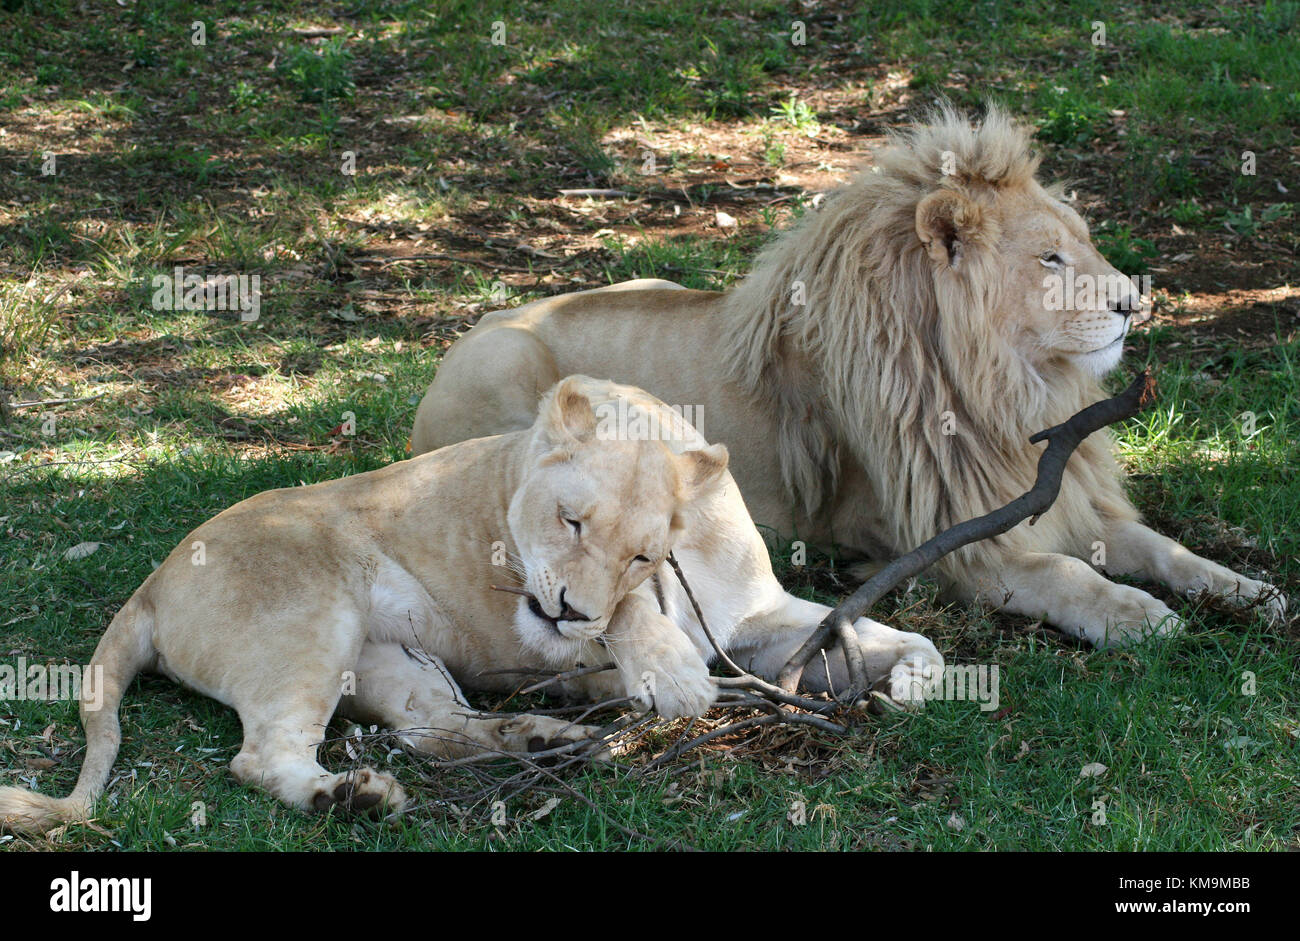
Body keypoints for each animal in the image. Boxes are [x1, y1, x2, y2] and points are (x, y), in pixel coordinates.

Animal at [1, 376, 941, 834]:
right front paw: (669, 674)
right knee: (262, 756)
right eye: (569, 520)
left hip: (393, 662)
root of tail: (151, 582)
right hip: (315, 605)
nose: (566, 612)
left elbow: (876, 630)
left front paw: (916, 676)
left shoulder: (753, 615)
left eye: (641, 552)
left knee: (436, 732)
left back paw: (552, 738)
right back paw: (354, 799)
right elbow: (636, 625)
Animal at [412, 106, 1285, 647]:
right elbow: (1066, 574)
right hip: (510, 363)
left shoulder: (1068, 498)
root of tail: (471, 327)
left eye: (1084, 242)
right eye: (1050, 259)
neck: (1011, 392)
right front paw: (1142, 617)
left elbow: (1167, 549)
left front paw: (1249, 590)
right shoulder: (956, 547)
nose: (1134, 303)